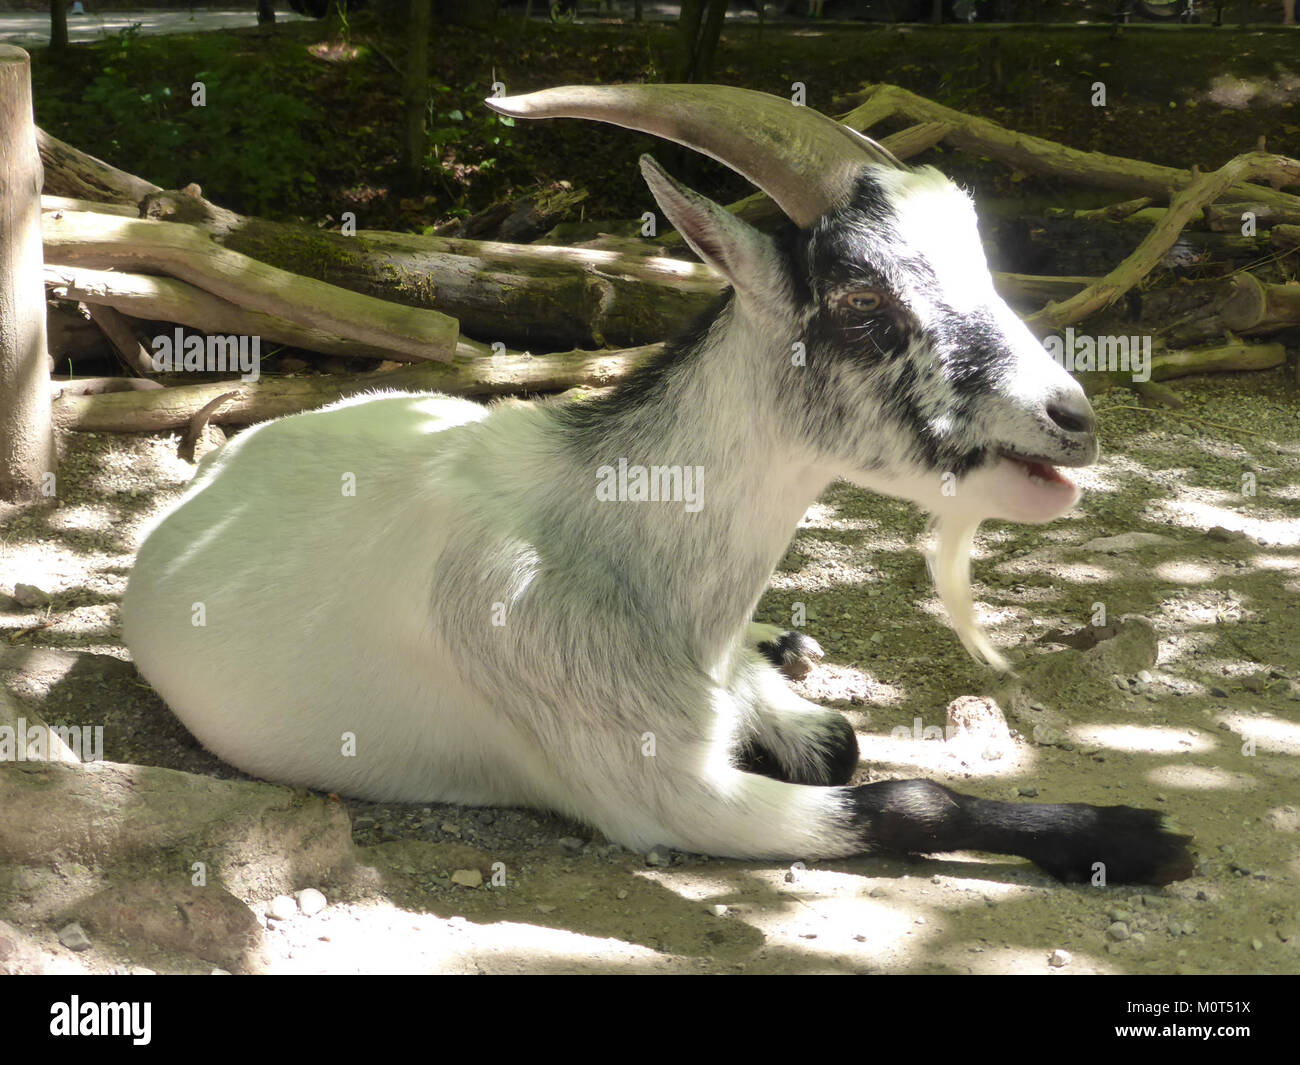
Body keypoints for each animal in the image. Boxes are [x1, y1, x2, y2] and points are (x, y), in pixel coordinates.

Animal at [122, 85, 1193, 885]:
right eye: (861, 298)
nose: (1071, 417)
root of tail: (220, 471)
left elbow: (837, 742)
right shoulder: (665, 798)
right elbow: (903, 796)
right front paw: (1130, 836)